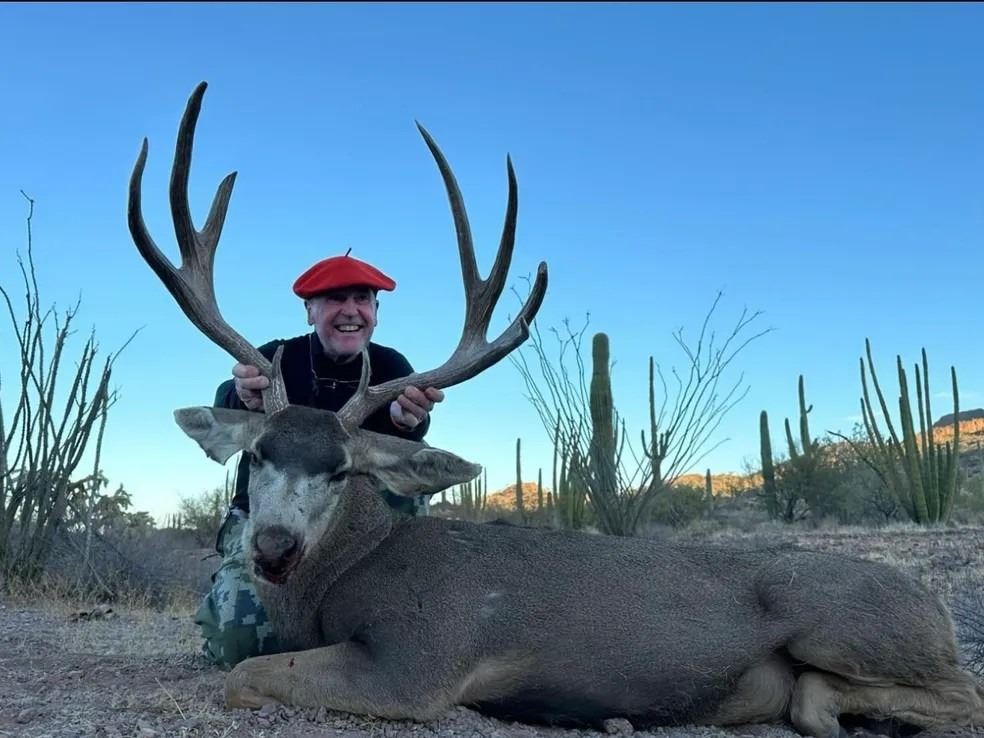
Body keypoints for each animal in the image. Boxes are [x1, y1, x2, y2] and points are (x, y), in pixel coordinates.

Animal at [128, 82, 984, 738]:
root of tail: (937, 610)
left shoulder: (420, 660)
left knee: (956, 691)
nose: (272, 547)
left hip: (838, 617)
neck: (349, 571)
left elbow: (242, 676)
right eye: (258, 453)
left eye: (340, 469)